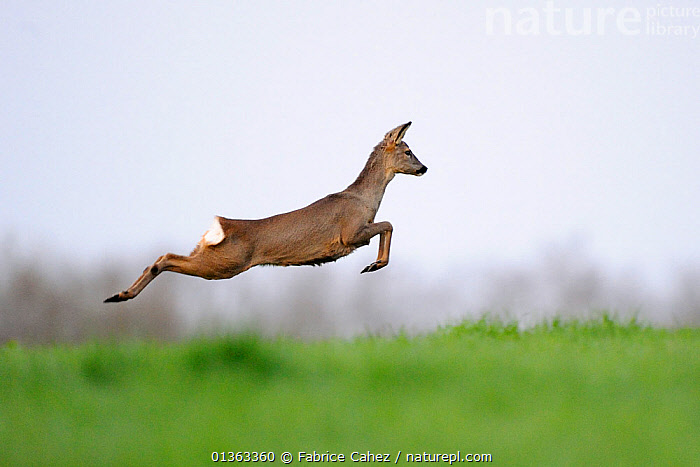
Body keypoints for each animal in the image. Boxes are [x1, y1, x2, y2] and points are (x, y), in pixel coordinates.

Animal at [104, 122, 427, 303]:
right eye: (408, 150)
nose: (424, 167)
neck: (365, 200)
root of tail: (220, 225)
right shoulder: (350, 233)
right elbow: (389, 223)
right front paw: (374, 265)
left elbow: (387, 224)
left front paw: (373, 264)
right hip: (225, 263)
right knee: (167, 258)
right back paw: (120, 296)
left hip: (213, 255)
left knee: (167, 255)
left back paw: (119, 295)